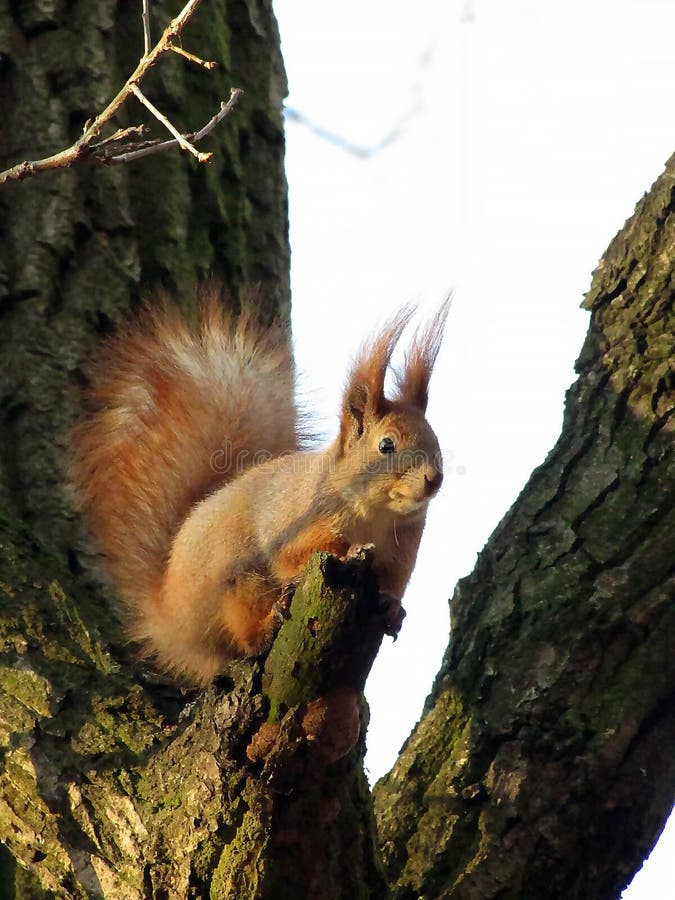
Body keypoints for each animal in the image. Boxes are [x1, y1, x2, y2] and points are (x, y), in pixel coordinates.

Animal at [70, 283, 448, 685]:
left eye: (434, 438)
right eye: (386, 445)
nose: (434, 479)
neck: (375, 515)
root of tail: (170, 617)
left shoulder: (402, 547)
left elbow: (393, 582)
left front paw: (392, 607)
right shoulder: (293, 519)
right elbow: (293, 555)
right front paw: (345, 551)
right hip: (237, 582)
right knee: (245, 632)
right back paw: (267, 626)